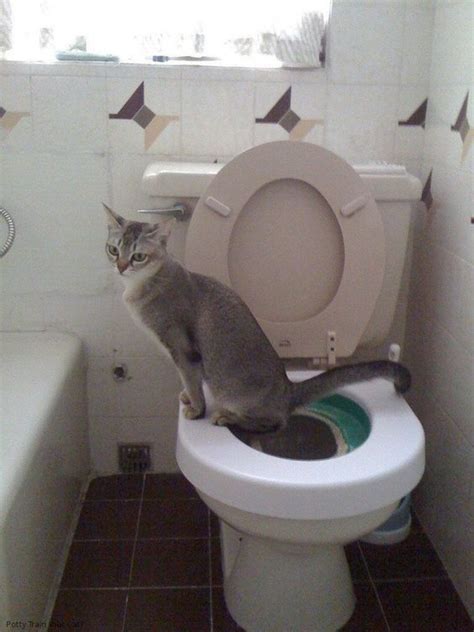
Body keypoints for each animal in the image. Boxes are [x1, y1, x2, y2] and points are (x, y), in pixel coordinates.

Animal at [104, 204, 411, 433]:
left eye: (138, 256)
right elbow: (188, 383)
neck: (142, 288)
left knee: (275, 422)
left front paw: (196, 407)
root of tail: (288, 388)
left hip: (231, 392)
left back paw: (227, 417)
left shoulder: (184, 351)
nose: (121, 266)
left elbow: (192, 381)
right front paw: (186, 396)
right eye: (113, 250)